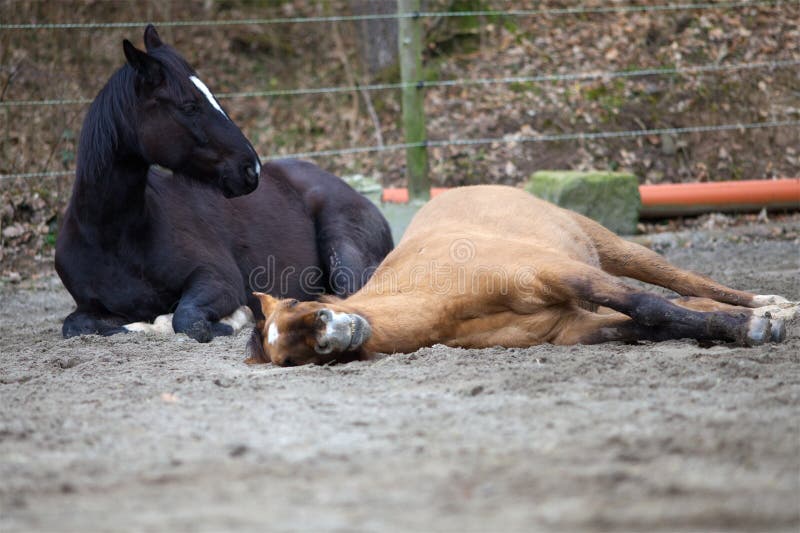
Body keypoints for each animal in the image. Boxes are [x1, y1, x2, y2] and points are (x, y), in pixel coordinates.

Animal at [55, 25, 393, 342]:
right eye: (189, 106)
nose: (250, 169)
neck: (112, 237)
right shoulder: (89, 307)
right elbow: (76, 325)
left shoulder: (218, 279)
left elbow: (186, 320)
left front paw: (234, 319)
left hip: (344, 251)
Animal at [246, 185, 797, 366]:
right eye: (288, 359)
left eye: (301, 308)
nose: (331, 333)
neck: (441, 301)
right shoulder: (572, 327)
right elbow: (652, 324)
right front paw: (742, 329)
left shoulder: (562, 273)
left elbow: (649, 305)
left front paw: (754, 327)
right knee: (690, 301)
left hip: (612, 248)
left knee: (686, 284)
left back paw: (768, 304)